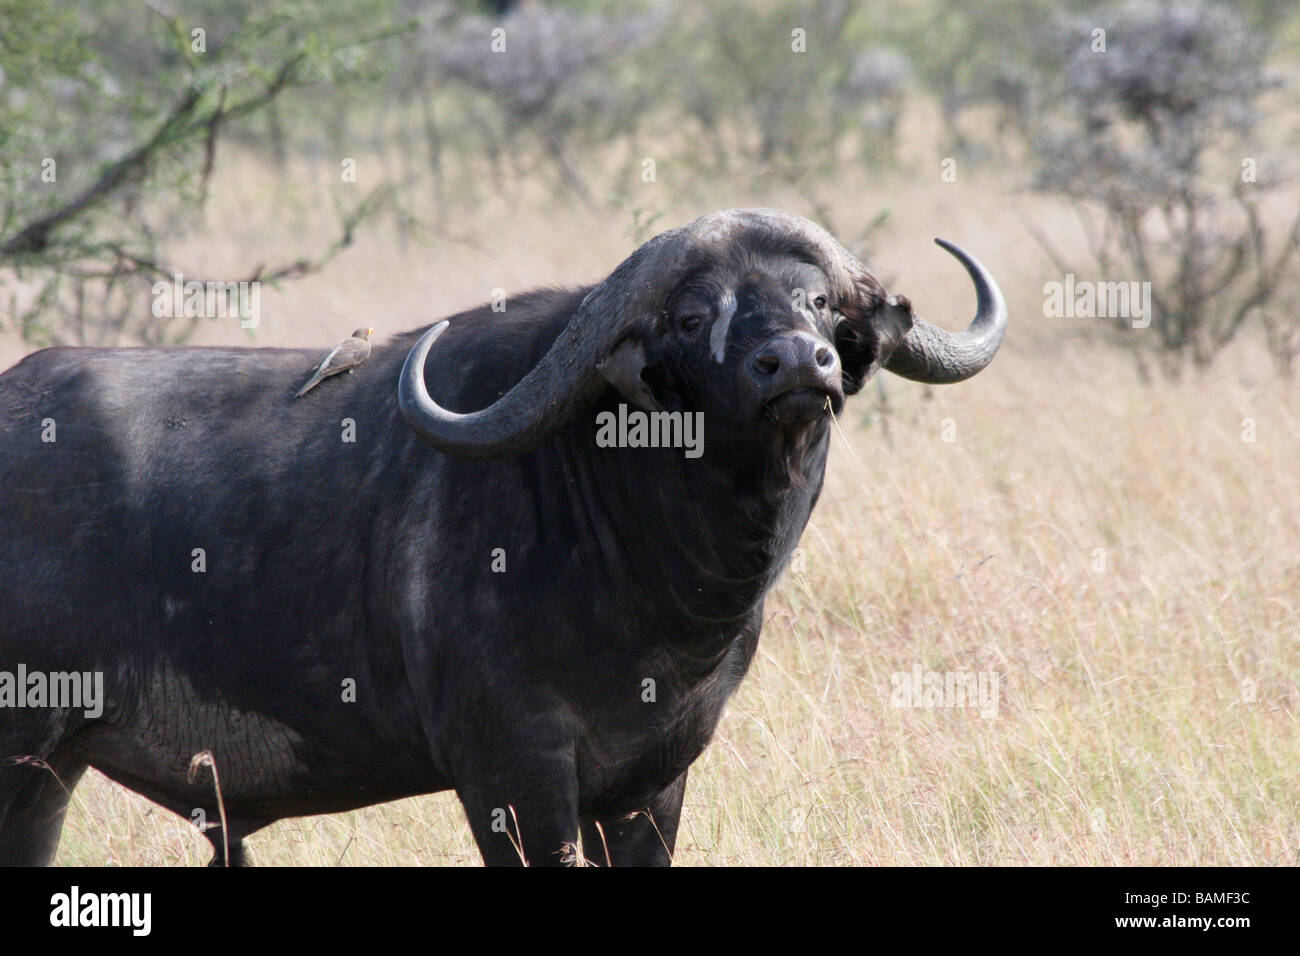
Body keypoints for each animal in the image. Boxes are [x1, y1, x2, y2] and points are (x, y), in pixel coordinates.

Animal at [0, 209, 1005, 865]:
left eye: (821, 304)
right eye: (693, 314)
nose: (799, 362)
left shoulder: (653, 785)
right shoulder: (511, 776)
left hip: (53, 773)